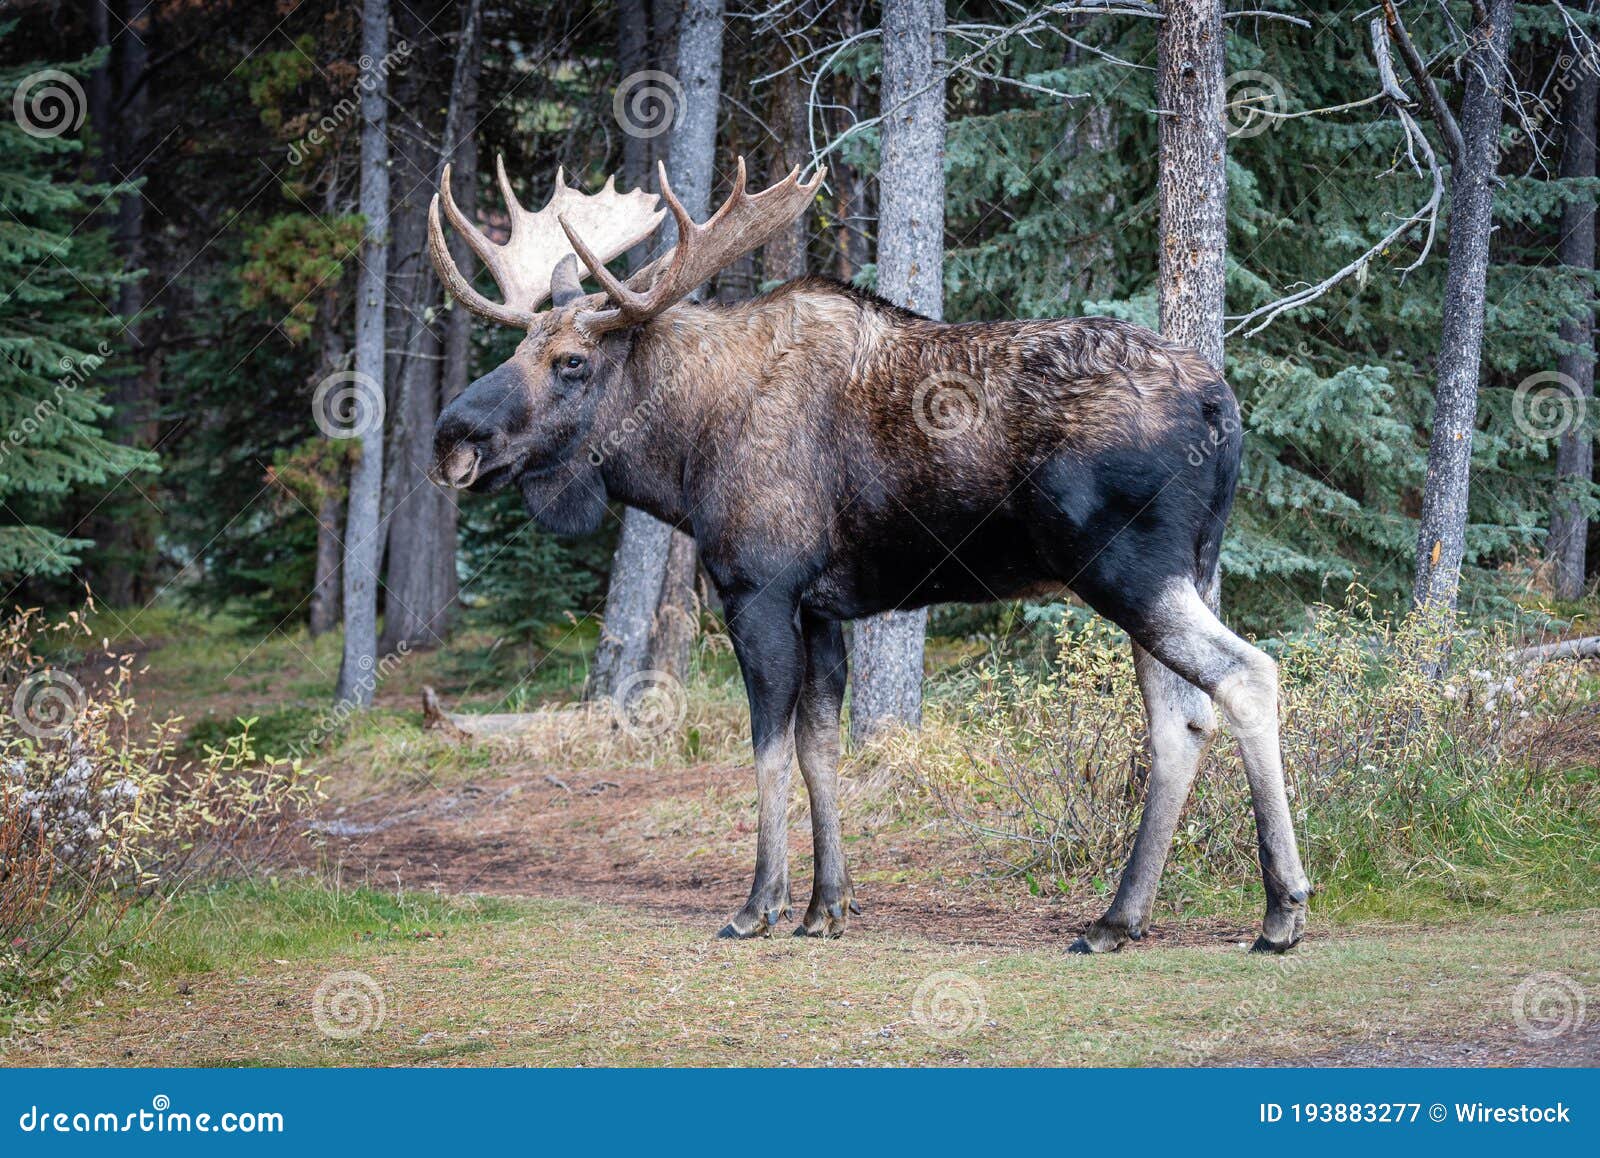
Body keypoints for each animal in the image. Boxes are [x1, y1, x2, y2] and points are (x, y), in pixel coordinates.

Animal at [426, 156, 1312, 953]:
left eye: (571, 363)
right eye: (519, 350)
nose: (452, 437)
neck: (680, 455)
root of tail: (1222, 405)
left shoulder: (757, 589)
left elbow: (768, 748)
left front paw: (759, 906)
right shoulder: (822, 607)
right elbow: (819, 746)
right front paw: (828, 906)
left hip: (1130, 571)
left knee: (1246, 675)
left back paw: (1279, 910)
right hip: (1180, 571)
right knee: (1180, 719)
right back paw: (1117, 919)